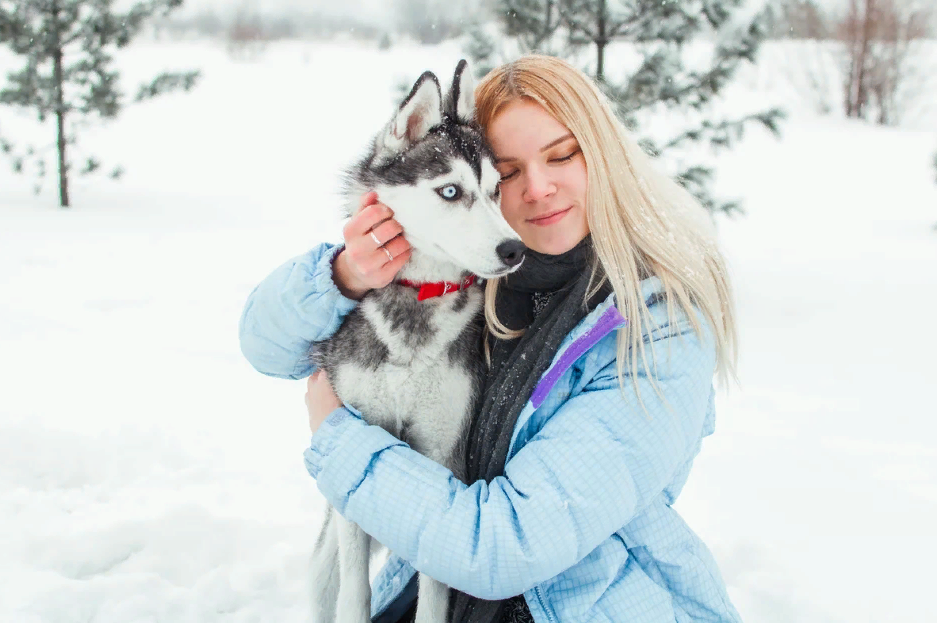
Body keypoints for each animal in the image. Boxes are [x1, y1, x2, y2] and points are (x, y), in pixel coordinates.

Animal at [308, 59, 524, 623]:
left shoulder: (442, 456)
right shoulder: (359, 438)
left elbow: (434, 588)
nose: (513, 249)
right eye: (450, 191)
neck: (420, 300)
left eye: (497, 188)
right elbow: (355, 592)